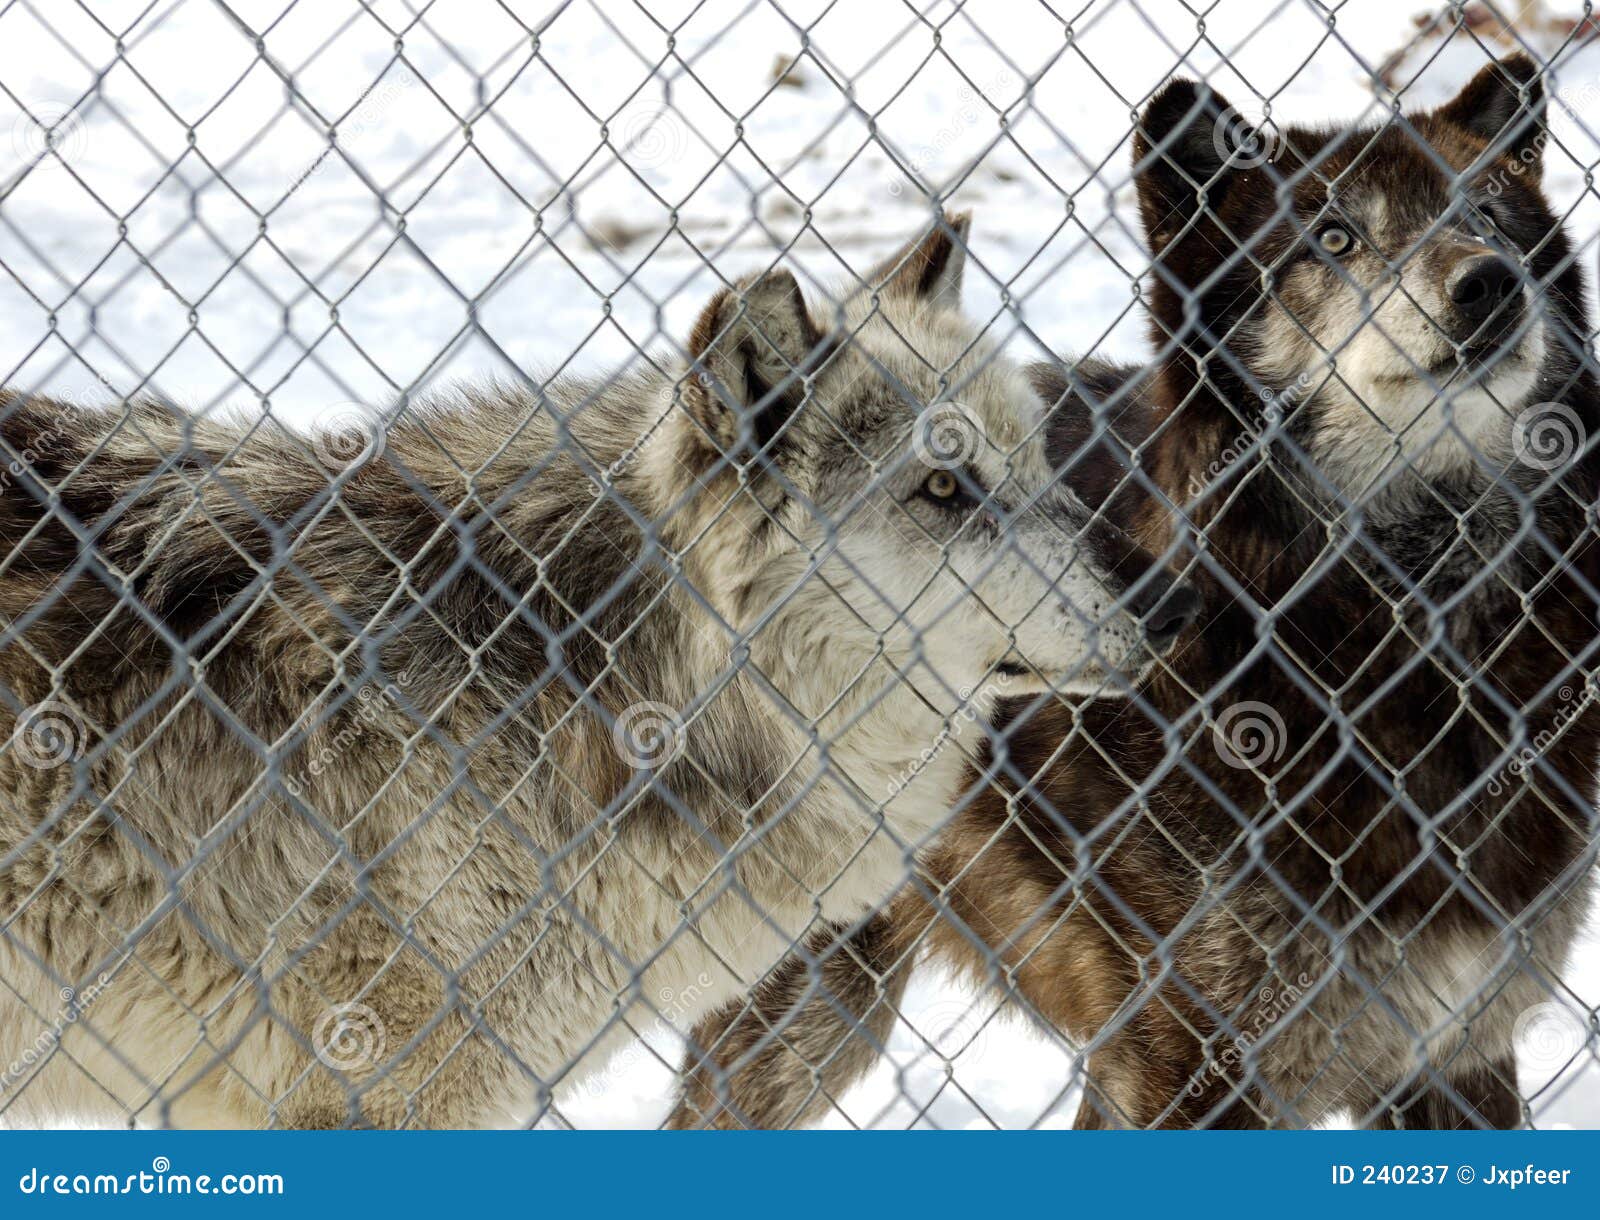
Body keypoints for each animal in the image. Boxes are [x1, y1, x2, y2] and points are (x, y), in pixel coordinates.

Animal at [671, 55, 1600, 1130]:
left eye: (1487, 216)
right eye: (1335, 237)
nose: (1489, 283)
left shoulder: (1457, 1057)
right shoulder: (1185, 1065)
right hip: (802, 1013)